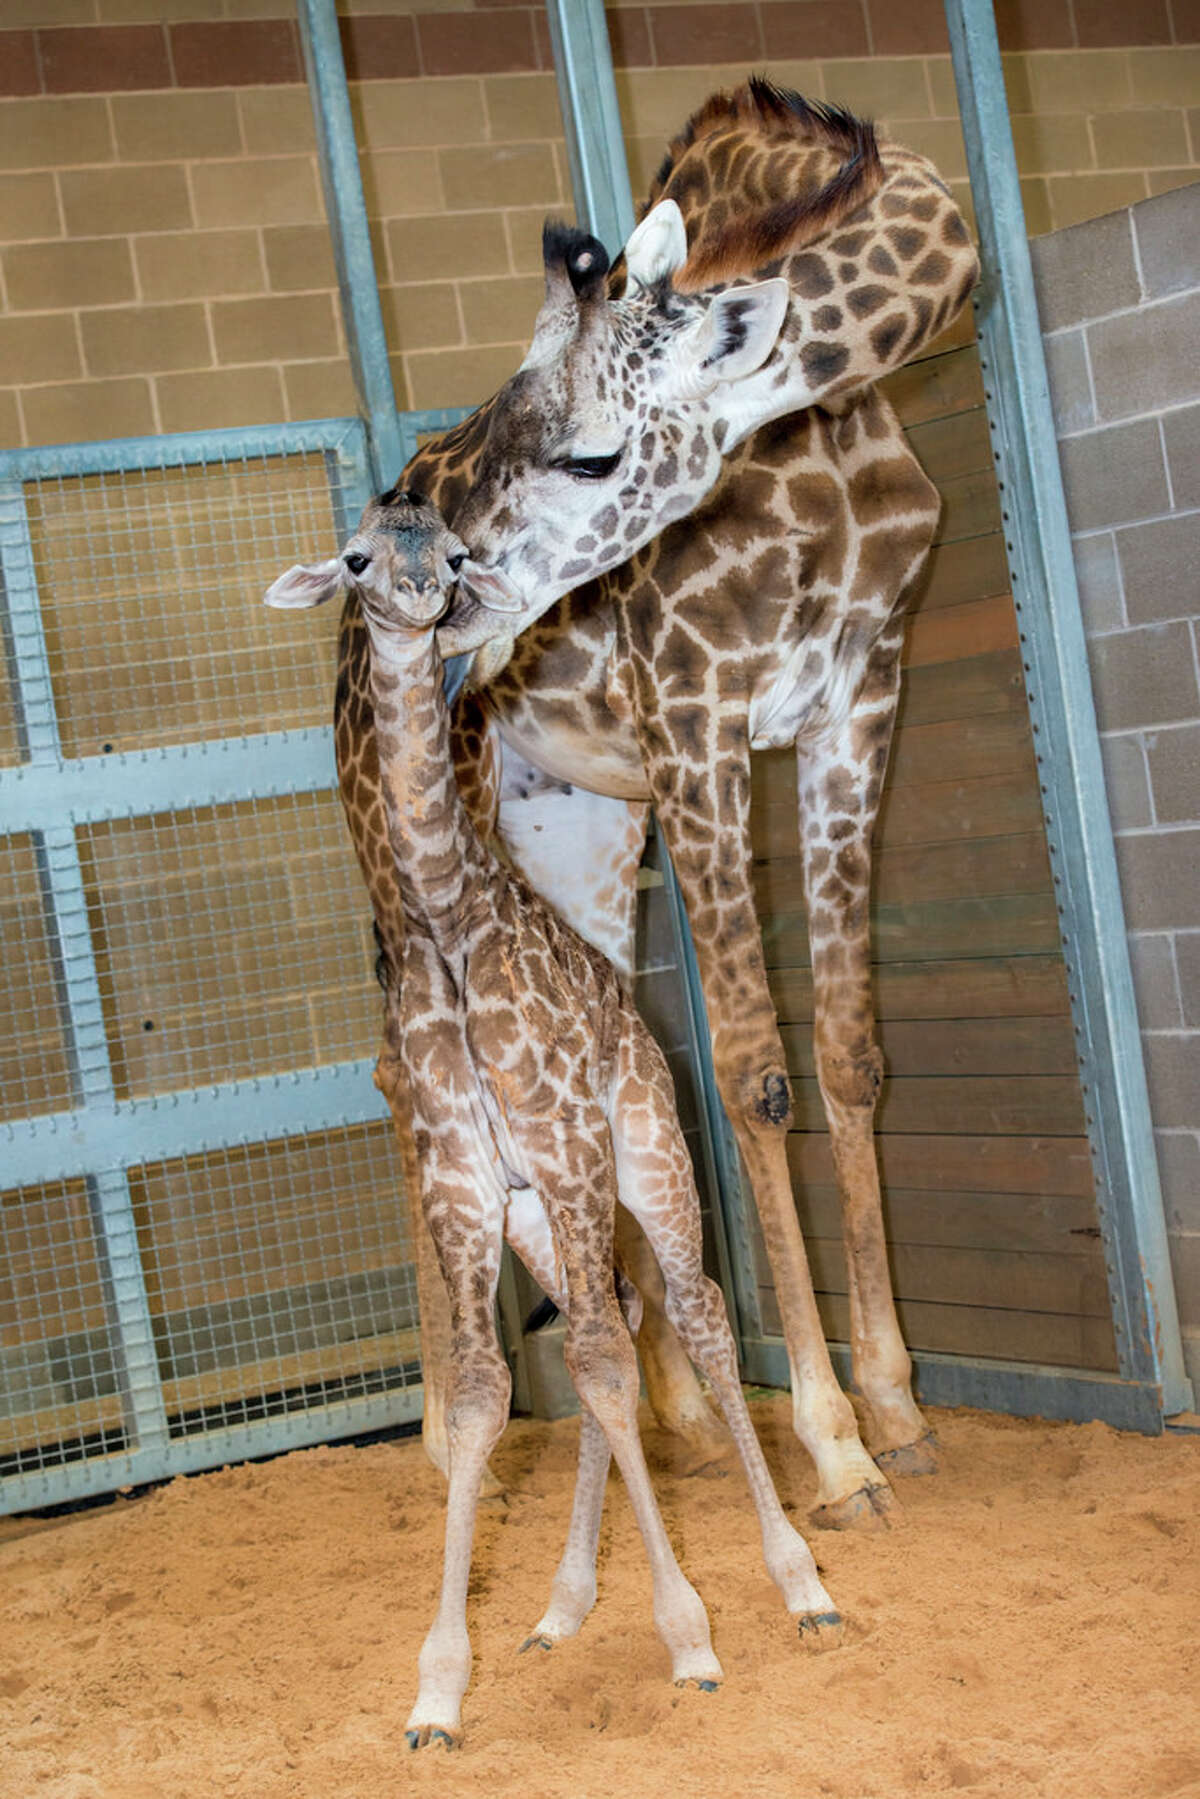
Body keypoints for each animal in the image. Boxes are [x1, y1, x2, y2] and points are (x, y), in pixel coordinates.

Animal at [265, 490, 843, 1749]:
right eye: (356, 557)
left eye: (458, 552)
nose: (421, 596)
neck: (442, 912)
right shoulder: (465, 1179)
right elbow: (490, 1388)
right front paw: (439, 1688)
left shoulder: (570, 1141)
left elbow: (605, 1367)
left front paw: (690, 1637)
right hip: (539, 1215)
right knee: (613, 1311)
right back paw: (562, 1604)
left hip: (651, 1156)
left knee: (693, 1313)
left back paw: (803, 1580)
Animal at [332, 82, 980, 1528]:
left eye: (589, 452)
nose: (433, 571)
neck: (831, 434)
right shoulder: (700, 713)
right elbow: (752, 1072)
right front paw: (833, 1440)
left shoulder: (862, 699)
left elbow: (847, 1050)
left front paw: (900, 1406)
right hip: (417, 835)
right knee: (406, 1068)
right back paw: (444, 1430)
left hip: (574, 829)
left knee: (601, 1042)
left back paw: (674, 1408)